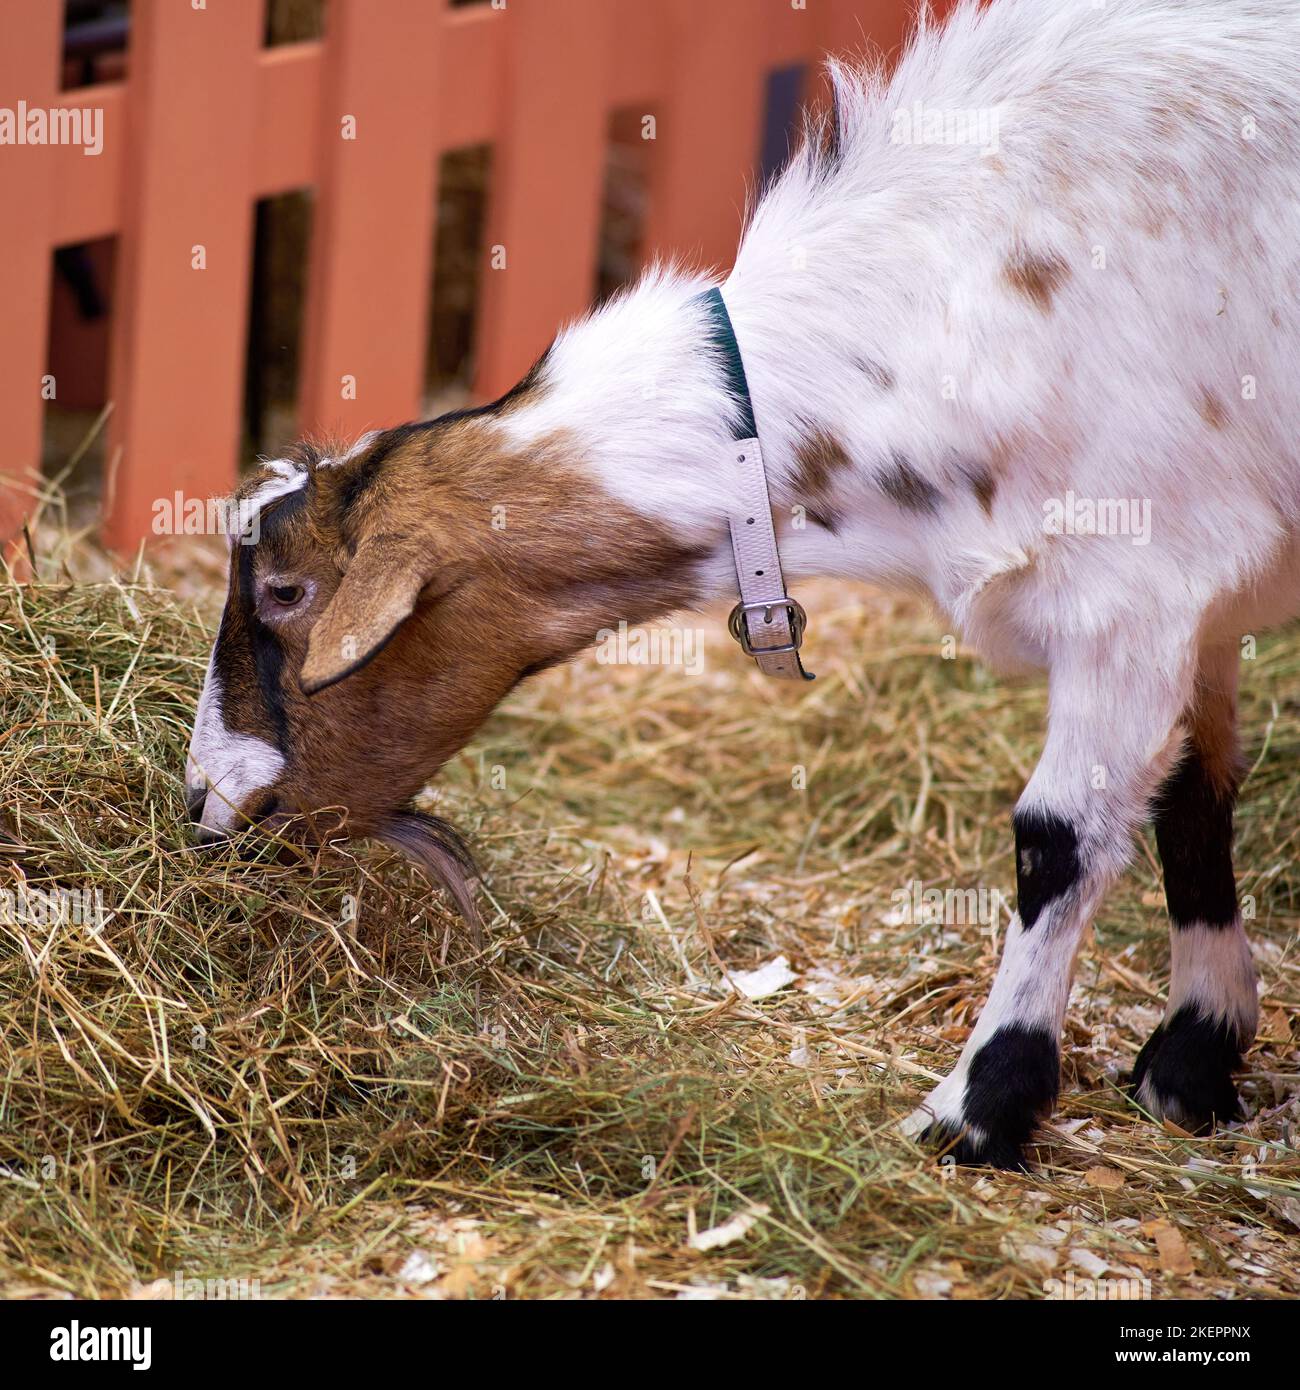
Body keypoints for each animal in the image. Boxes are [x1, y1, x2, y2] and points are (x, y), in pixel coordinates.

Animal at [186, 0, 1300, 1167]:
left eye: (285, 594)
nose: (204, 804)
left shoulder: (1130, 590)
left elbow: (1059, 837)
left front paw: (979, 1110)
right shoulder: (1199, 607)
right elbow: (1193, 796)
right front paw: (1197, 1057)